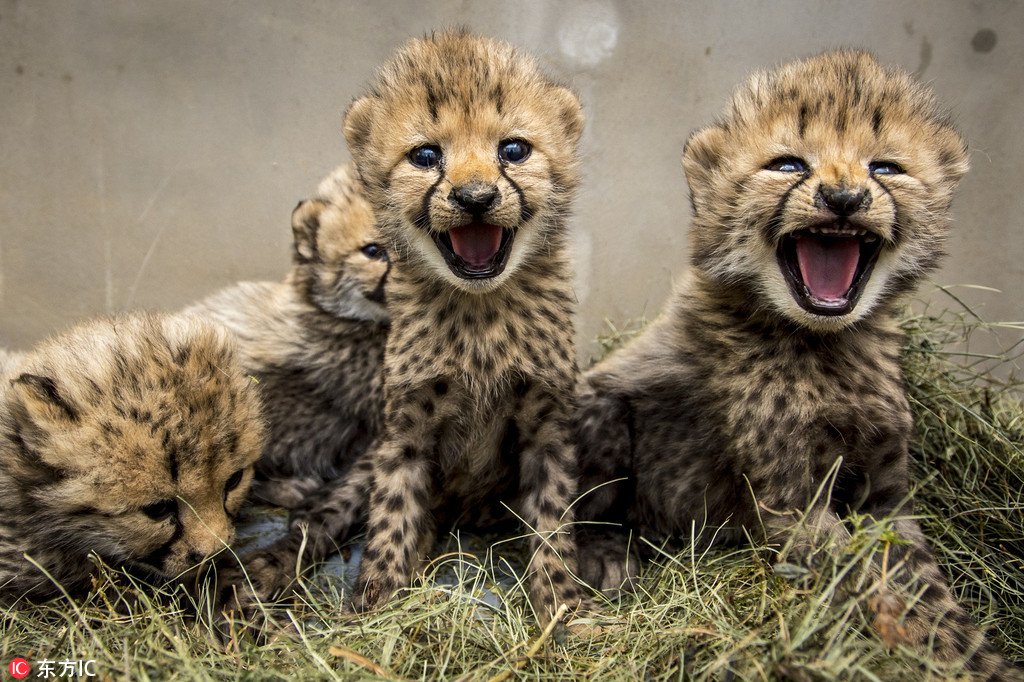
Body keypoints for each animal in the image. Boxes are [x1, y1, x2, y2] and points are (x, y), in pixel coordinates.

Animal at [339, 29, 590, 629]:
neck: (480, 309)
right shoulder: (404, 431)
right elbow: (392, 509)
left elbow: (553, 517)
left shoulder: (547, 426)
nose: (475, 197)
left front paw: (562, 604)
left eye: (514, 150)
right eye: (426, 155)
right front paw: (376, 601)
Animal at [575, 51, 1019, 678]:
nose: (844, 198)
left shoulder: (886, 501)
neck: (827, 344)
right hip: (600, 408)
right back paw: (605, 557)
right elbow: (852, 570)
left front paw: (973, 653)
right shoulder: (791, 501)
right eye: (786, 164)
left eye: (886, 168)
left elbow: (924, 588)